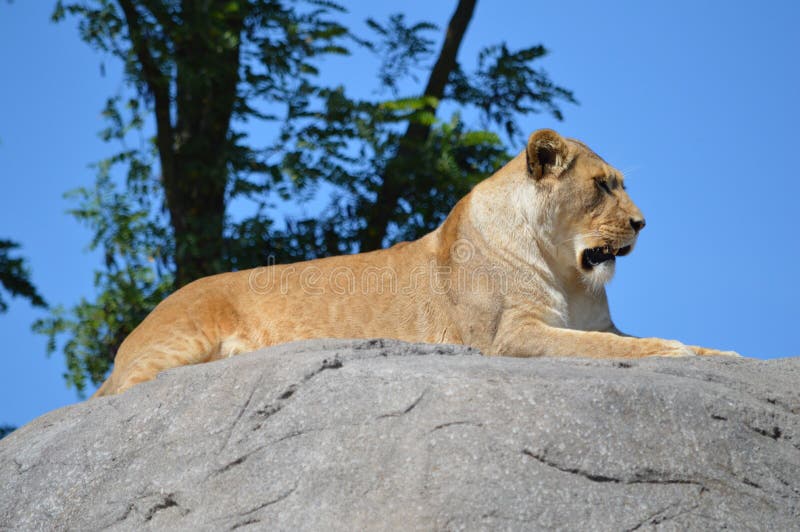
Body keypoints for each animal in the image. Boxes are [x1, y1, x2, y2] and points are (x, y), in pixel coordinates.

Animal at [93, 129, 738, 397]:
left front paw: (722, 356)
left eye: (620, 185)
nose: (642, 224)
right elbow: (609, 348)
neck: (566, 269)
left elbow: (640, 340)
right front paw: (672, 352)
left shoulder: (596, 322)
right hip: (179, 339)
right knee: (122, 393)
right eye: (603, 186)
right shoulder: (508, 337)